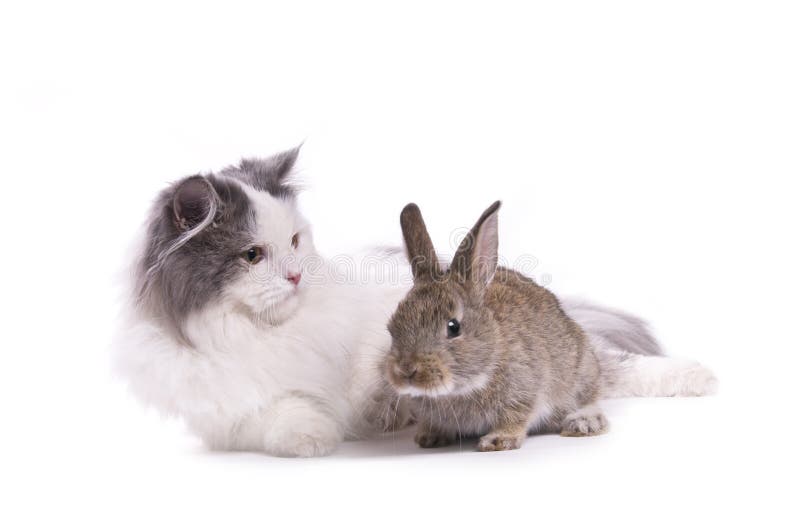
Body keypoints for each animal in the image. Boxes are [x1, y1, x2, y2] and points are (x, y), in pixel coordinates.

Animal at [385, 201, 608, 451]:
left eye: (453, 327)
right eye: (392, 327)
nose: (406, 369)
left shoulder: (525, 391)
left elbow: (516, 416)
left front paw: (498, 440)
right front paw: (429, 437)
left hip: (583, 371)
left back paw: (583, 423)